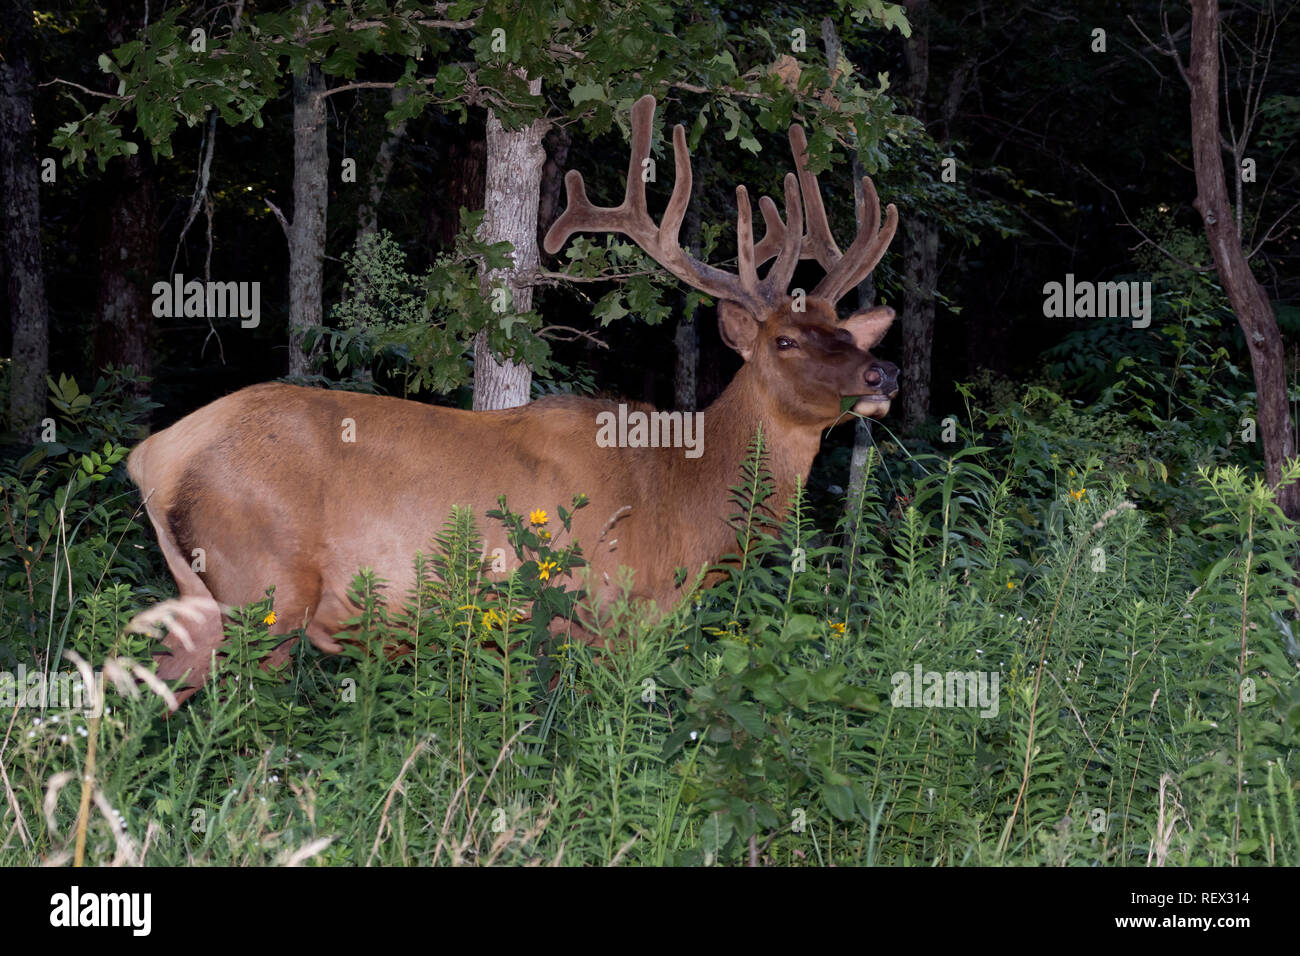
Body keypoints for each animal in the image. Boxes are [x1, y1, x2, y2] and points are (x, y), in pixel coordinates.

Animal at [126, 94, 899, 707]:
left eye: (844, 332)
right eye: (784, 341)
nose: (883, 375)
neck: (681, 503)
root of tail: (152, 455)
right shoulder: (589, 614)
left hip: (203, 601)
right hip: (264, 588)